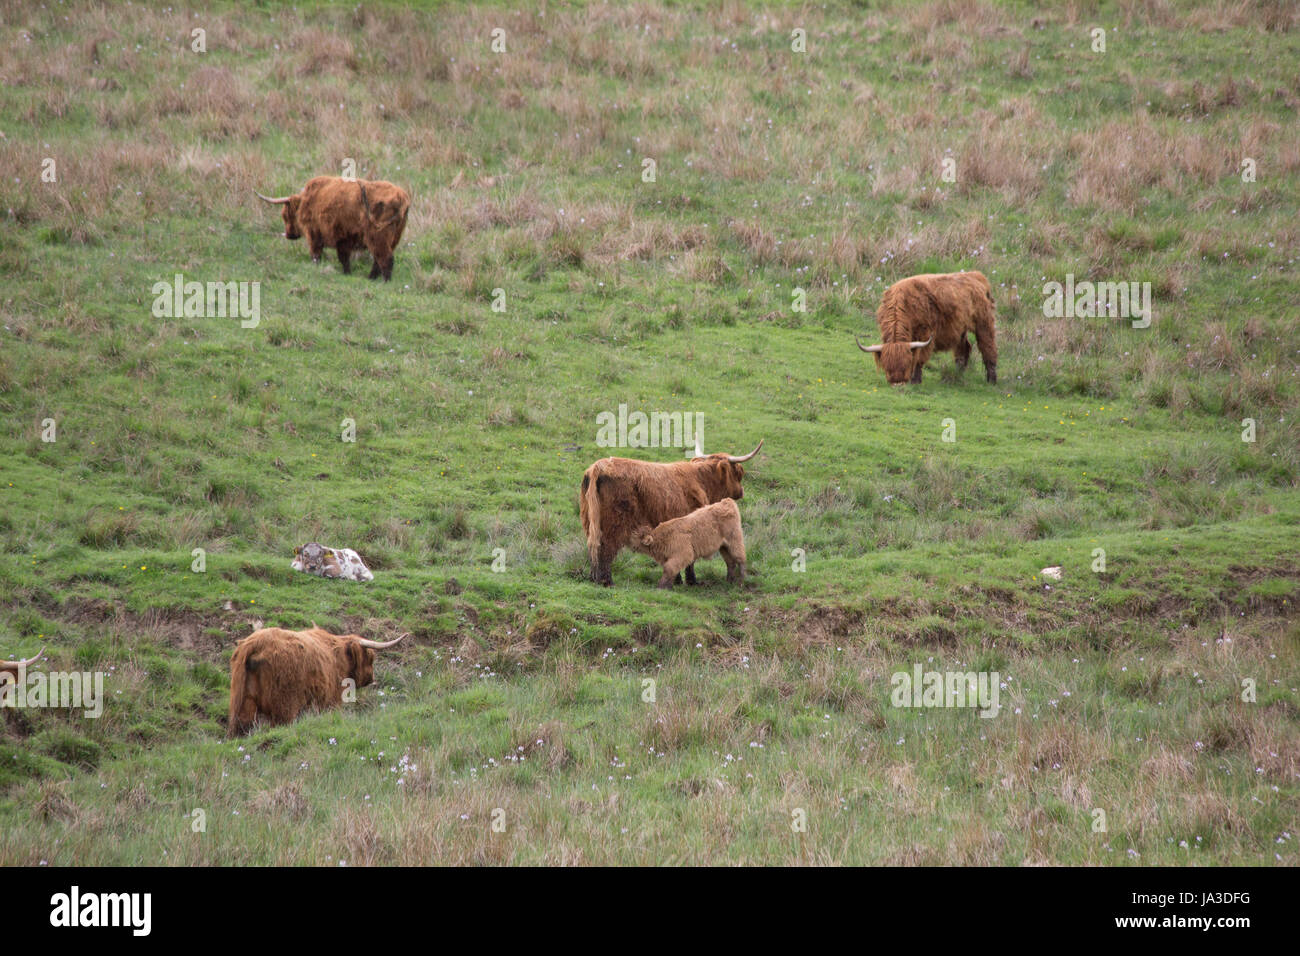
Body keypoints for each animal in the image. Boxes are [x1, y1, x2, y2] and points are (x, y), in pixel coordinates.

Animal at [228, 625, 403, 735]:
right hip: (284, 707)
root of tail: (256, 642)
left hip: (243, 705)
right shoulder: (331, 701)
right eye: (370, 657)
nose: (371, 678)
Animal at [256, 176, 411, 281]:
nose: (289, 235)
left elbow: (316, 255)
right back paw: (371, 278)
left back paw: (384, 281)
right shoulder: (343, 239)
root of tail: (401, 197)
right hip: (393, 238)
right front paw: (347, 273)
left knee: (385, 258)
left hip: (378, 236)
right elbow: (344, 259)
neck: (307, 201)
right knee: (379, 260)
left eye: (285, 215)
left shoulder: (314, 235)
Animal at [579, 439, 762, 586]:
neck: (701, 481)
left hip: (590, 523)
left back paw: (594, 578)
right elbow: (689, 559)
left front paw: (678, 580)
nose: (741, 491)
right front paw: (691, 581)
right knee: (606, 548)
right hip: (614, 524)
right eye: (739, 472)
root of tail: (599, 466)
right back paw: (607, 582)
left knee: (593, 547)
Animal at [856, 271, 997, 385]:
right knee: (963, 349)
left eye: (905, 364)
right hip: (960, 328)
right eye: (887, 366)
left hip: (983, 323)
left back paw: (991, 380)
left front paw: (915, 380)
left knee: (988, 347)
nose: (897, 382)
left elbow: (919, 356)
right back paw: (958, 373)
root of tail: (976, 275)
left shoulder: (925, 333)